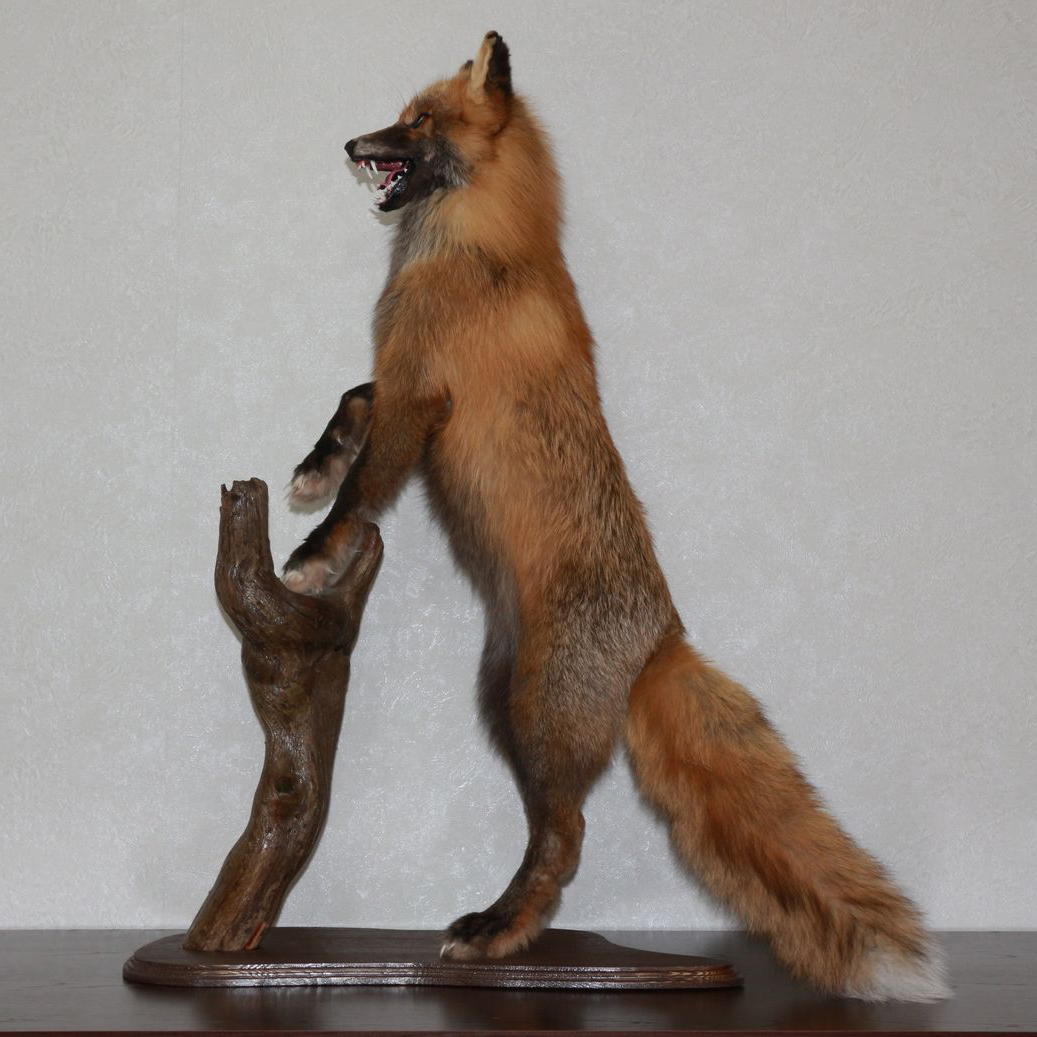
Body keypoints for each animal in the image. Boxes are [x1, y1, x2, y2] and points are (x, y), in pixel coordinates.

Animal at [282, 32, 949, 1001]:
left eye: (417, 122)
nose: (349, 144)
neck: (475, 245)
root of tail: (662, 634)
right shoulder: (400, 382)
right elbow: (348, 403)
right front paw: (307, 469)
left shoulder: (421, 396)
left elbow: (364, 486)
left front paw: (313, 551)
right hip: (504, 705)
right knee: (554, 836)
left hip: (536, 716)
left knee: (567, 843)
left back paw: (499, 934)